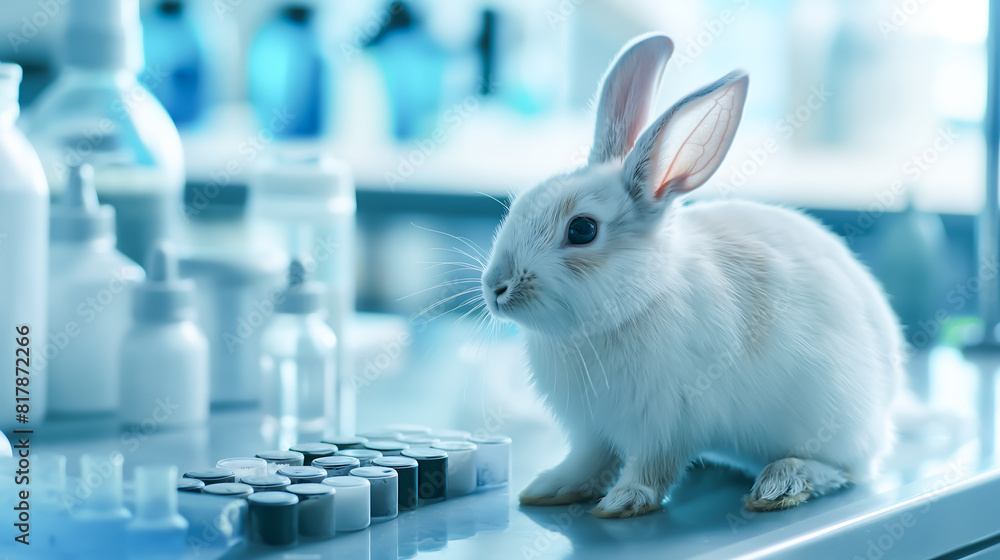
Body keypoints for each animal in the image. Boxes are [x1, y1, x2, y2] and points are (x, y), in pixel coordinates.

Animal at [480, 33, 903, 518]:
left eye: (582, 230)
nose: (495, 288)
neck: (635, 303)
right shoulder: (592, 429)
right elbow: (589, 461)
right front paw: (551, 487)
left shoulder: (666, 423)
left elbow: (651, 467)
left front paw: (623, 501)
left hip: (835, 420)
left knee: (845, 471)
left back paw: (780, 483)